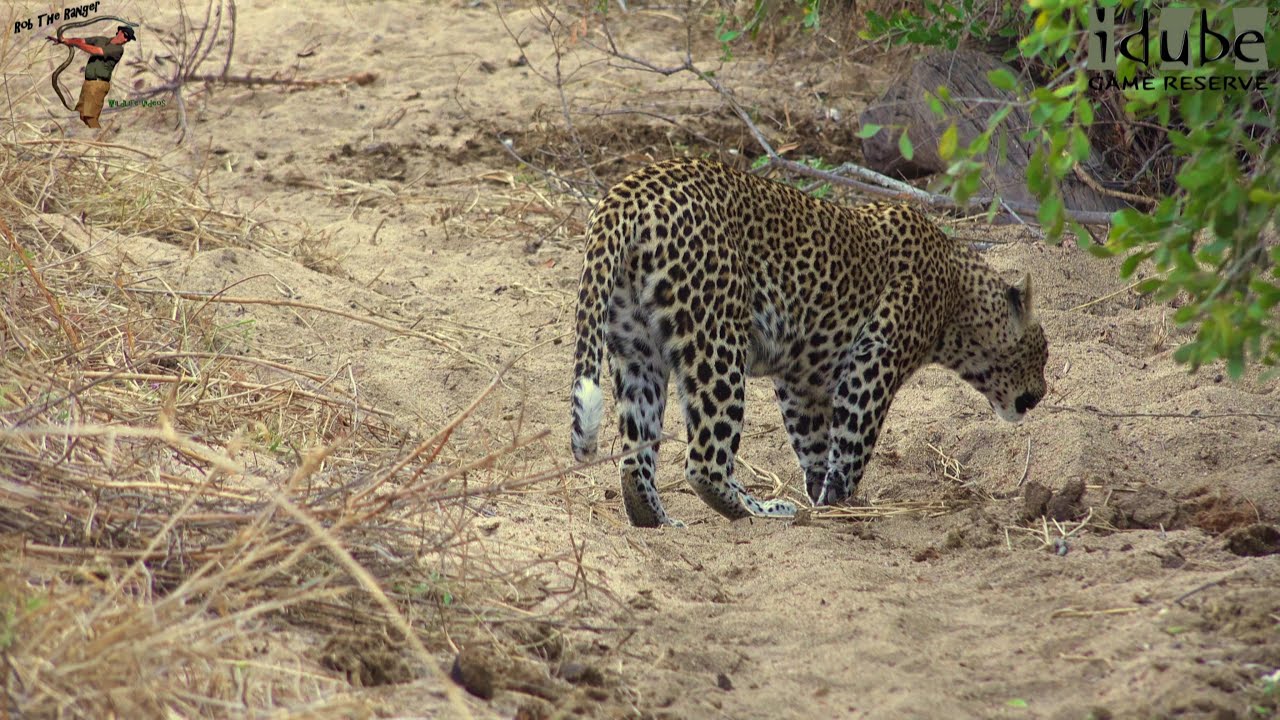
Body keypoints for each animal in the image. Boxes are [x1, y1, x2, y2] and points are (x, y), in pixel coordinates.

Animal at [570, 157, 1048, 528]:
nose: (1042, 394)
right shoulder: (875, 362)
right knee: (706, 462)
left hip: (635, 348)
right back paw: (759, 512)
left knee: (635, 456)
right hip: (717, 338)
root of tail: (630, 192)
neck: (957, 295)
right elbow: (854, 440)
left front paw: (821, 494)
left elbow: (813, 440)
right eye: (1042, 356)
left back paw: (656, 518)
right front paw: (841, 500)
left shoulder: (801, 379)